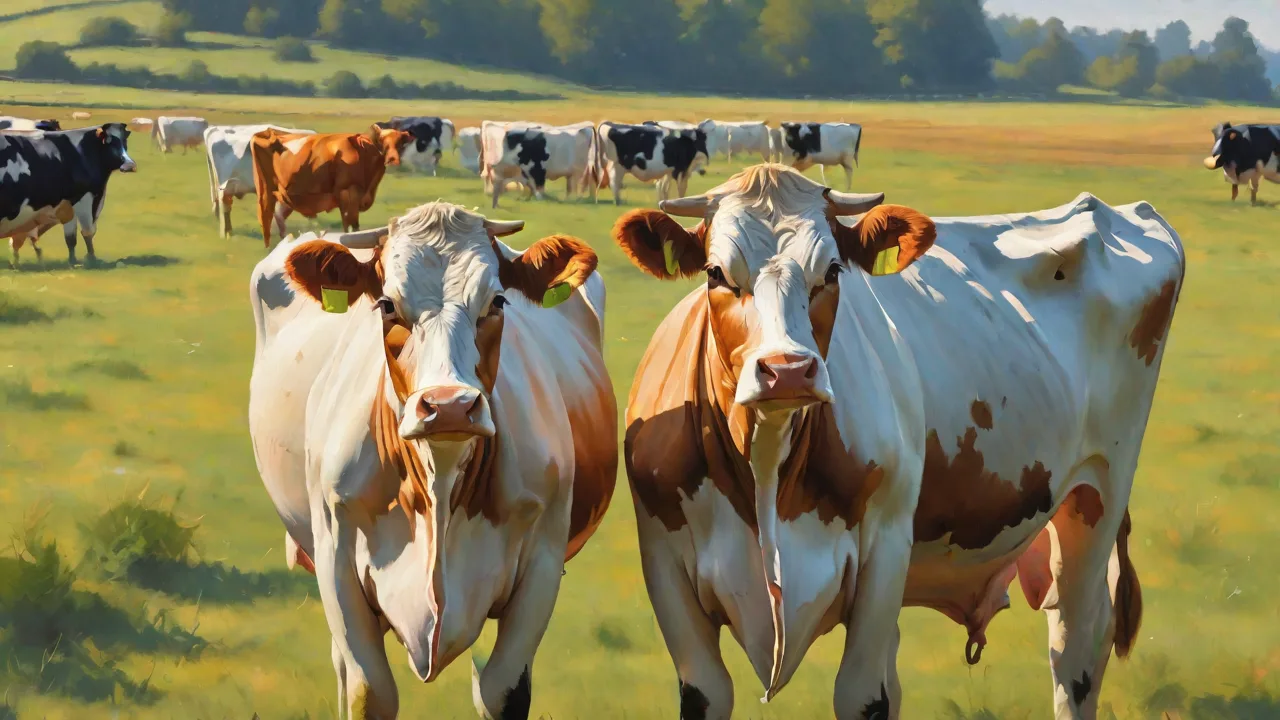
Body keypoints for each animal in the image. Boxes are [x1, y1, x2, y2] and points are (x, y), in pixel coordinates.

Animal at [1, 123, 136, 267]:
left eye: (124, 140)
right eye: (109, 142)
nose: (129, 165)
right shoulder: (80, 201)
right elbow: (82, 235)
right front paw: (87, 260)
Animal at [247, 201, 617, 719]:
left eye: (497, 302)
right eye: (386, 305)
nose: (449, 406)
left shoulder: (542, 566)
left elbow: (501, 690)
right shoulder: (335, 560)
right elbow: (368, 690)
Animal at [250, 125, 412, 247]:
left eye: (401, 143)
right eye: (382, 141)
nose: (393, 159)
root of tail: (268, 132)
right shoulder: (347, 195)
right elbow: (350, 229)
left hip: (284, 196)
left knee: (279, 219)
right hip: (264, 194)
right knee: (266, 221)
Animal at [613, 163, 1184, 719]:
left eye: (833, 270)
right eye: (715, 273)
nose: (787, 370)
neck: (769, 469)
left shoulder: (886, 552)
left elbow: (862, 695)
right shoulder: (664, 562)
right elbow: (708, 692)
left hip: (1100, 490)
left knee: (1076, 647)